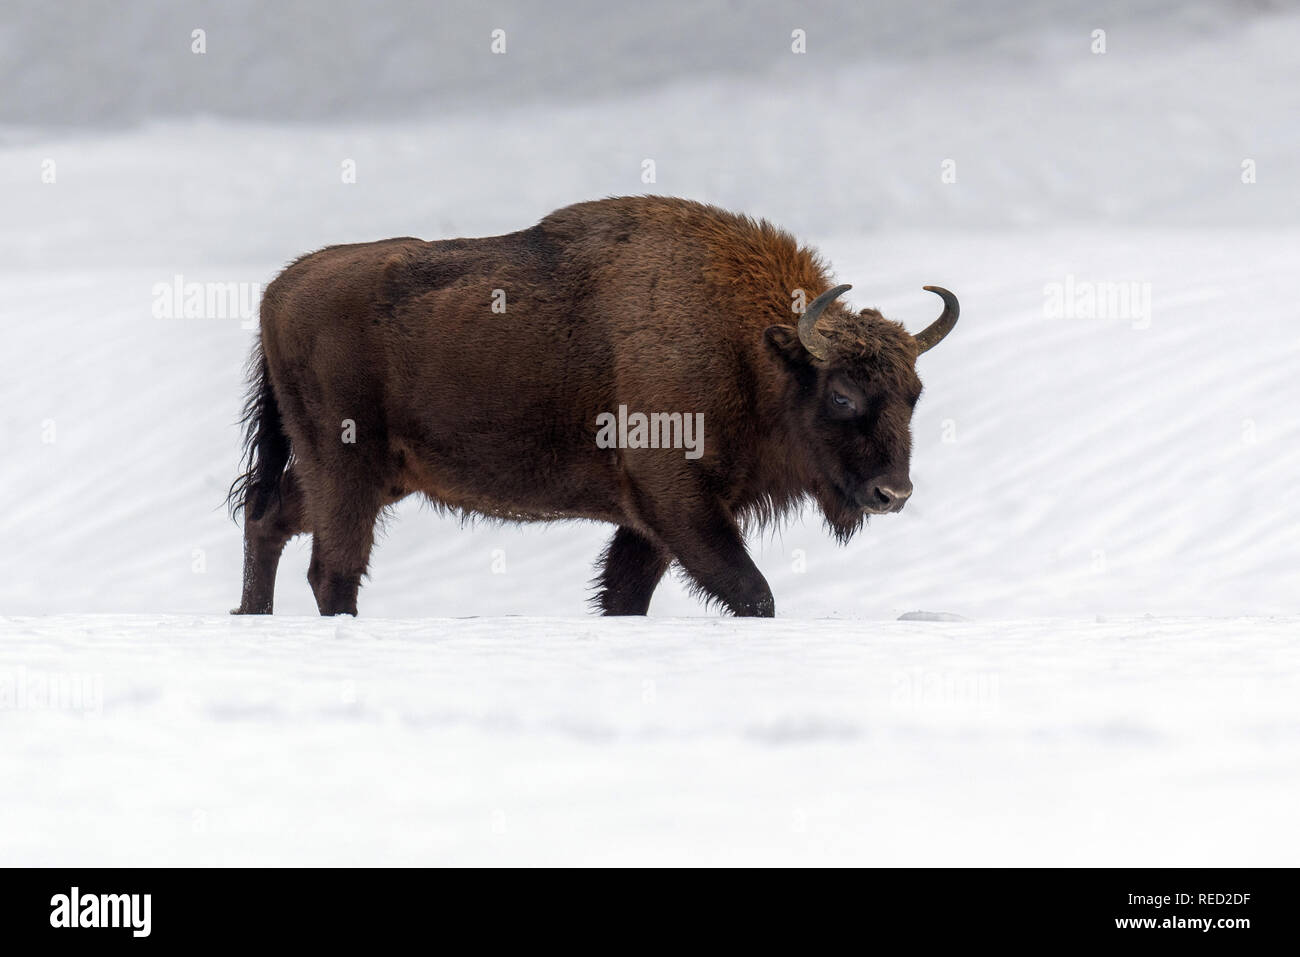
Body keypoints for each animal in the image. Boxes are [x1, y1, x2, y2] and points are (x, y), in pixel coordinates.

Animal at [229, 196, 958, 617]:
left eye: (914, 394)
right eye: (841, 394)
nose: (893, 492)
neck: (754, 349)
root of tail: (280, 287)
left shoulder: (653, 522)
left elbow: (625, 593)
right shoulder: (678, 498)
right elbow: (752, 592)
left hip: (375, 475)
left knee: (269, 518)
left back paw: (251, 614)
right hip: (346, 465)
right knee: (333, 569)